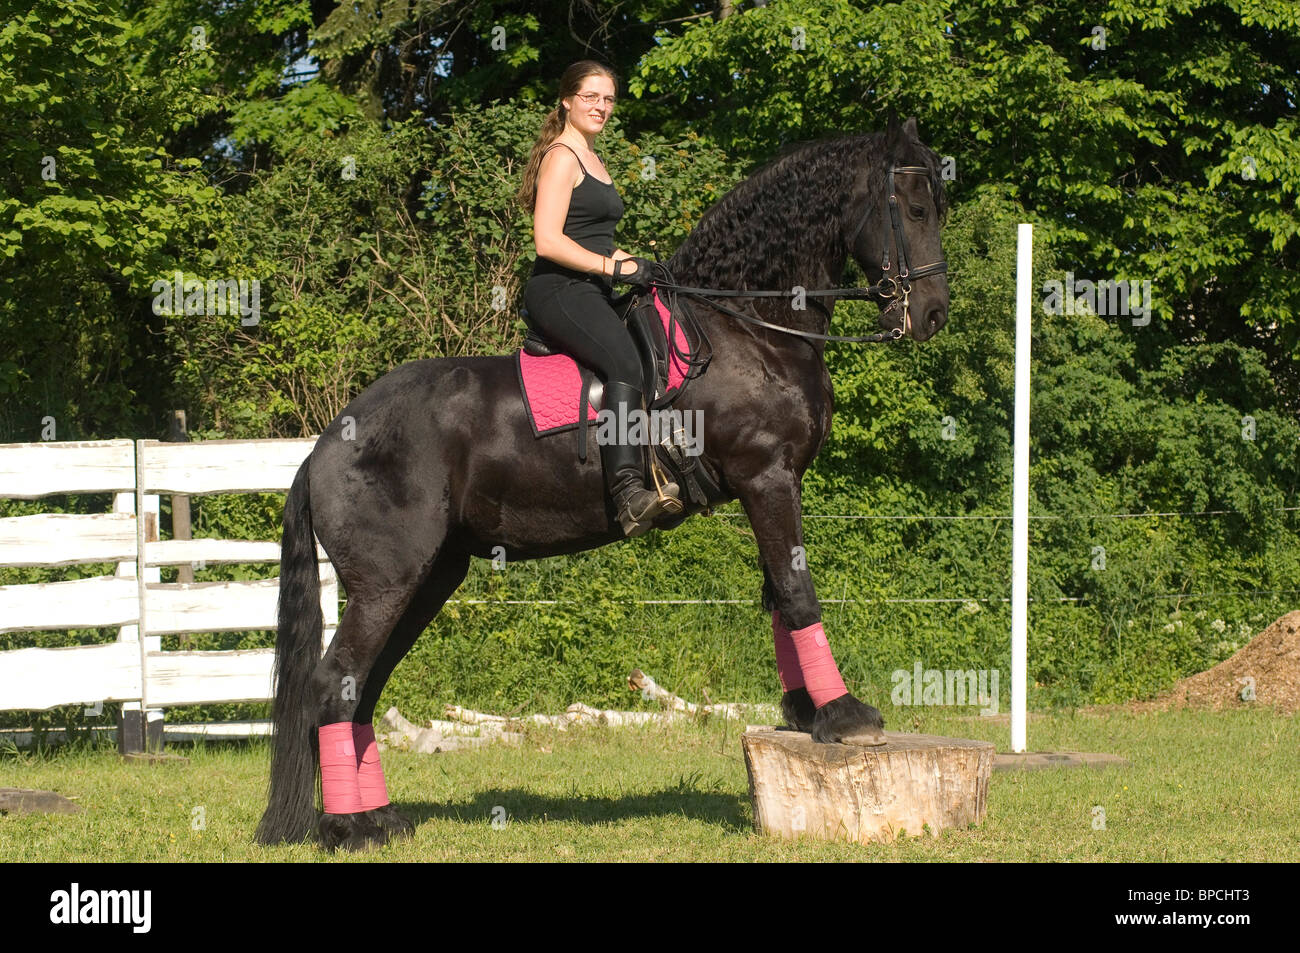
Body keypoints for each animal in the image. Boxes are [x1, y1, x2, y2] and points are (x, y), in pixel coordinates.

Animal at [254, 116, 950, 851]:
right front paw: (842, 713)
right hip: (388, 580)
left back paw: (379, 817)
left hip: (425, 579)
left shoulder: (769, 481)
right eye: (915, 209)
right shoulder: (767, 476)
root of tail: (326, 444)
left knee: (363, 685)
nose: (933, 314)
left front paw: (803, 712)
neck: (747, 327)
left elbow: (775, 596)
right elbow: (797, 592)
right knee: (334, 683)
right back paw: (347, 827)